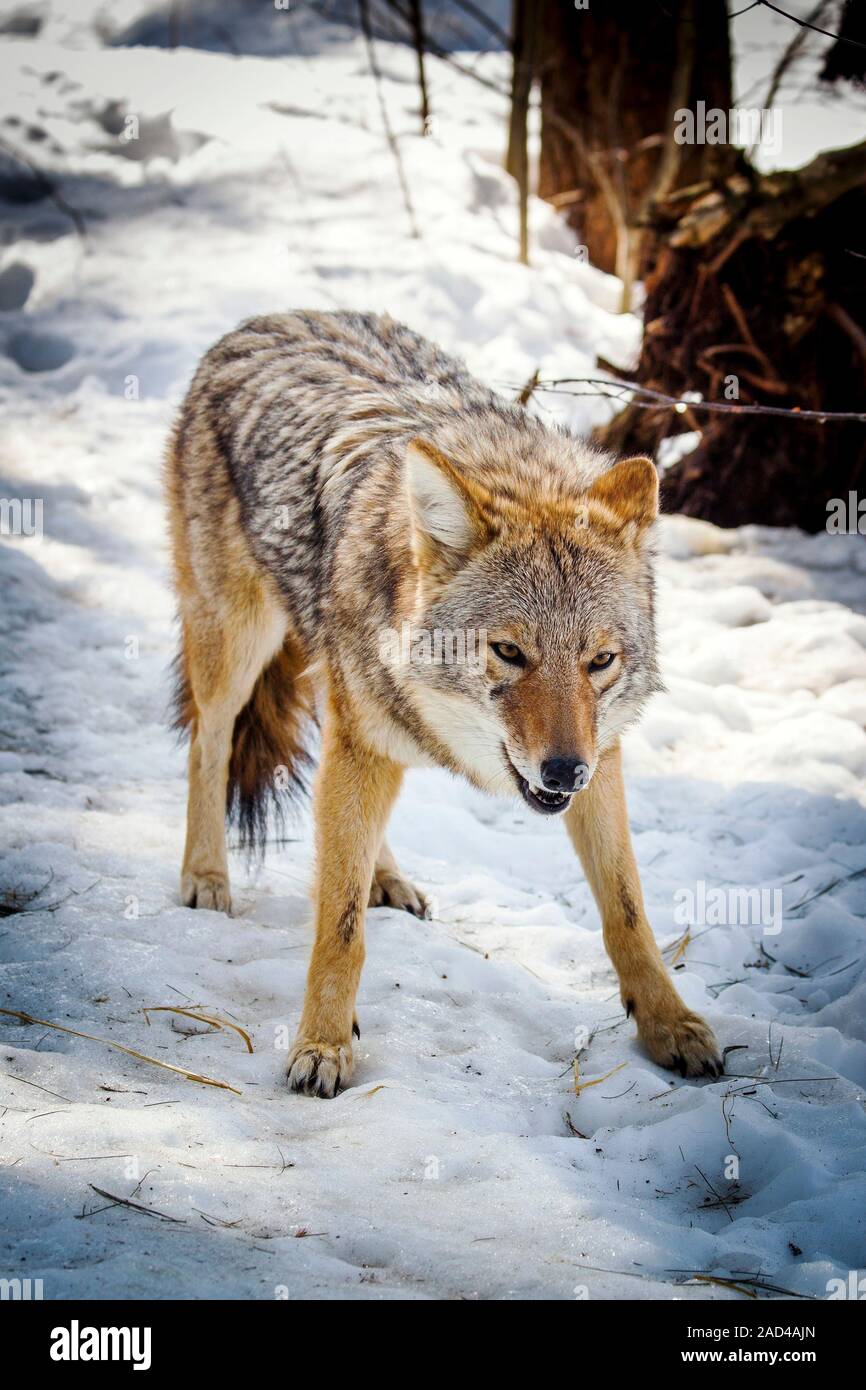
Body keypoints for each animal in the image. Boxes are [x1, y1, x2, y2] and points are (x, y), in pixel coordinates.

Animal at [166, 310, 722, 1097]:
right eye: (510, 652)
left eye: (600, 662)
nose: (563, 773)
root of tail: (265, 319)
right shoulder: (364, 742)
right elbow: (339, 928)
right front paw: (323, 1045)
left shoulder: (603, 753)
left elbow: (628, 911)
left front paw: (671, 1025)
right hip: (239, 644)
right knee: (207, 743)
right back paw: (207, 878)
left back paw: (386, 876)